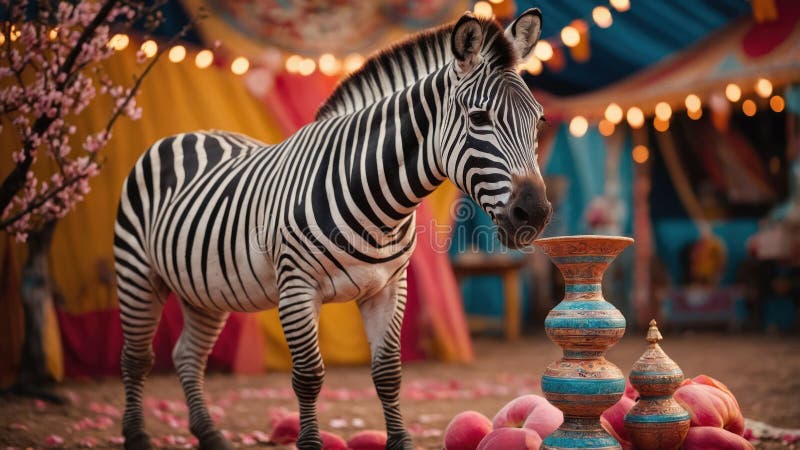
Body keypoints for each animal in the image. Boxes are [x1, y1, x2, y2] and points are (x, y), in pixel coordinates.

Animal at [114, 9, 551, 450]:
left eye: (539, 120)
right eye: (479, 118)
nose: (533, 213)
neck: (380, 208)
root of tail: (187, 135)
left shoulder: (388, 288)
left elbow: (388, 374)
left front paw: (401, 441)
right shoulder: (297, 287)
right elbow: (308, 376)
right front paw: (309, 443)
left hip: (205, 289)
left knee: (188, 356)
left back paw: (209, 433)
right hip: (137, 272)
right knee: (136, 357)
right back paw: (137, 434)